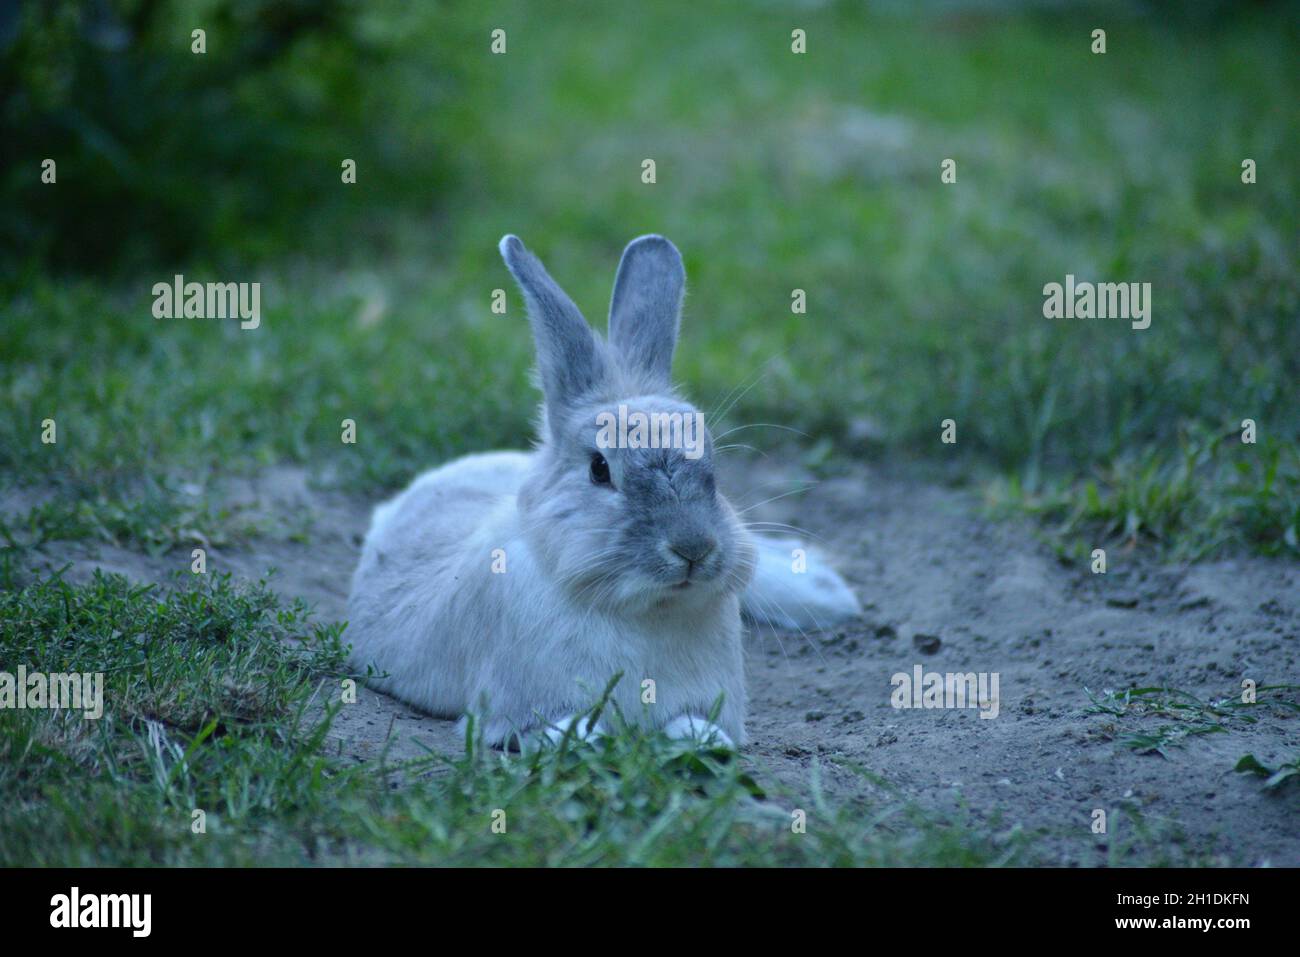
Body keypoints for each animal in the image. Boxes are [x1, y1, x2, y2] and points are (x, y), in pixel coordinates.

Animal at [346, 234, 861, 749]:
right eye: (599, 469)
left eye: (713, 465)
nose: (693, 548)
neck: (645, 607)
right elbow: (561, 729)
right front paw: (584, 737)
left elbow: (694, 723)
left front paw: (708, 742)